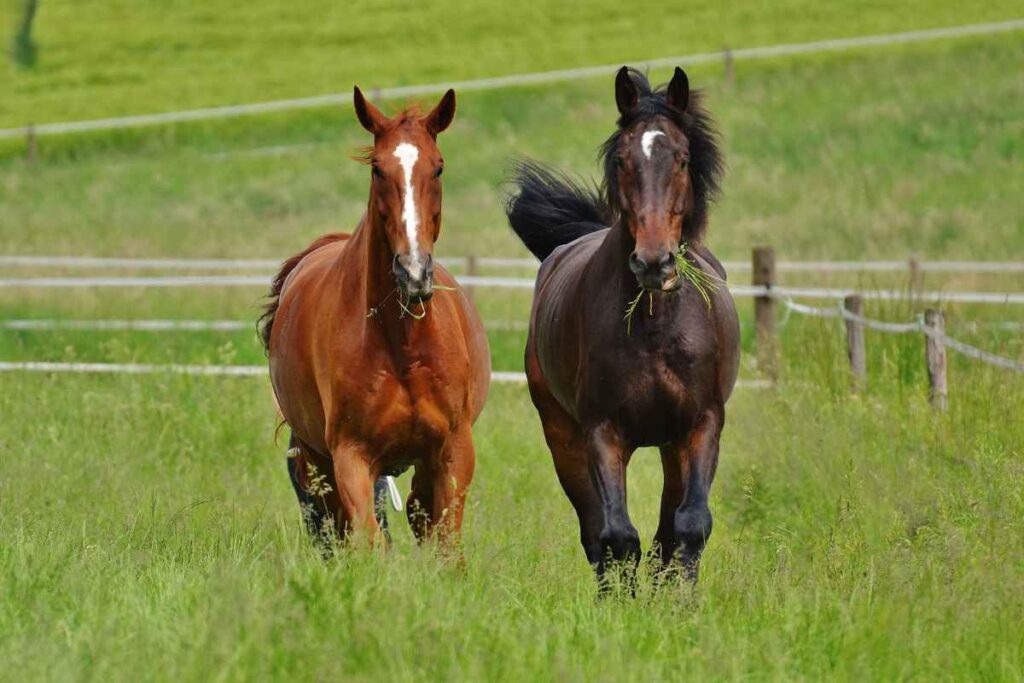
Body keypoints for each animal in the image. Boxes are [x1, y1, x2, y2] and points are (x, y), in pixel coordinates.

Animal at [260, 87, 491, 549]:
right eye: (378, 170)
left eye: (438, 167)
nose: (414, 271)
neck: (402, 344)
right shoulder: (351, 456)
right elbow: (369, 540)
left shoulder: (453, 450)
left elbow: (445, 544)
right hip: (318, 461)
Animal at [505, 67, 739, 583]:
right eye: (621, 160)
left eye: (683, 159)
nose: (653, 262)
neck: (656, 330)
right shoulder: (602, 432)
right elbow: (616, 537)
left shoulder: (702, 424)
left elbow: (689, 525)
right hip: (563, 437)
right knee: (596, 533)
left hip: (672, 446)